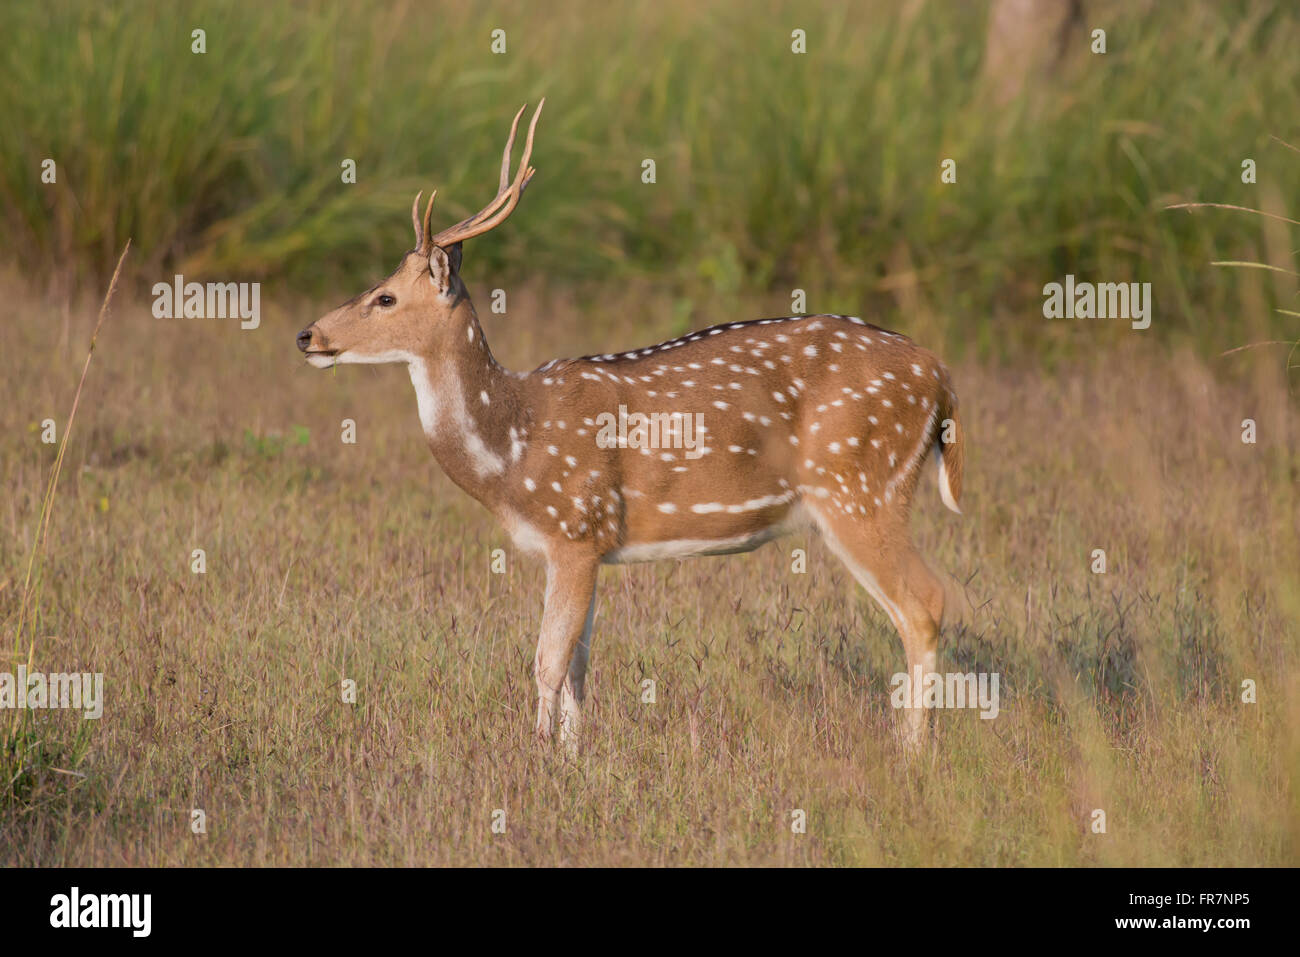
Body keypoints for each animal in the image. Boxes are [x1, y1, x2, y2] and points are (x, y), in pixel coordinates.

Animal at [296, 101, 965, 753]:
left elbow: (545, 662)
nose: (308, 335)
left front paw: (533, 758)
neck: (511, 449)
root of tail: (940, 378)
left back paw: (912, 752)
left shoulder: (573, 525)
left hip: (858, 486)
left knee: (925, 602)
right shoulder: (590, 544)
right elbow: (577, 667)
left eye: (384, 297)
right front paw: (573, 758)